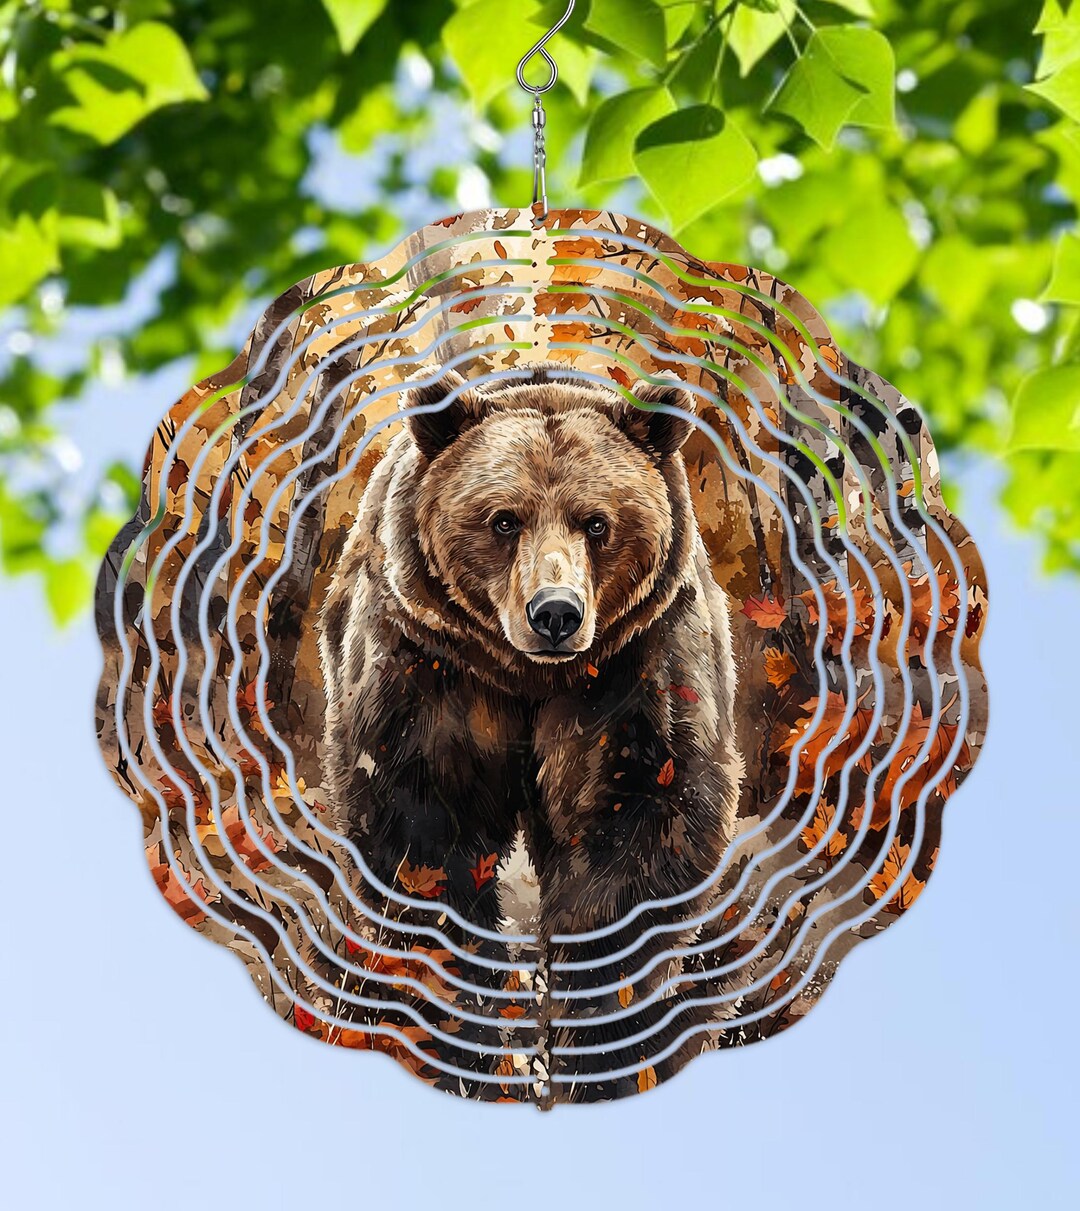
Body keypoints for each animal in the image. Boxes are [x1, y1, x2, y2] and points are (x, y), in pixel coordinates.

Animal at [317, 363, 743, 1098]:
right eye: (504, 519)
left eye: (597, 522)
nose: (556, 614)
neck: (526, 678)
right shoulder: (426, 667)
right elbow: (425, 845)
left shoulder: (634, 670)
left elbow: (634, 847)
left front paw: (597, 1049)